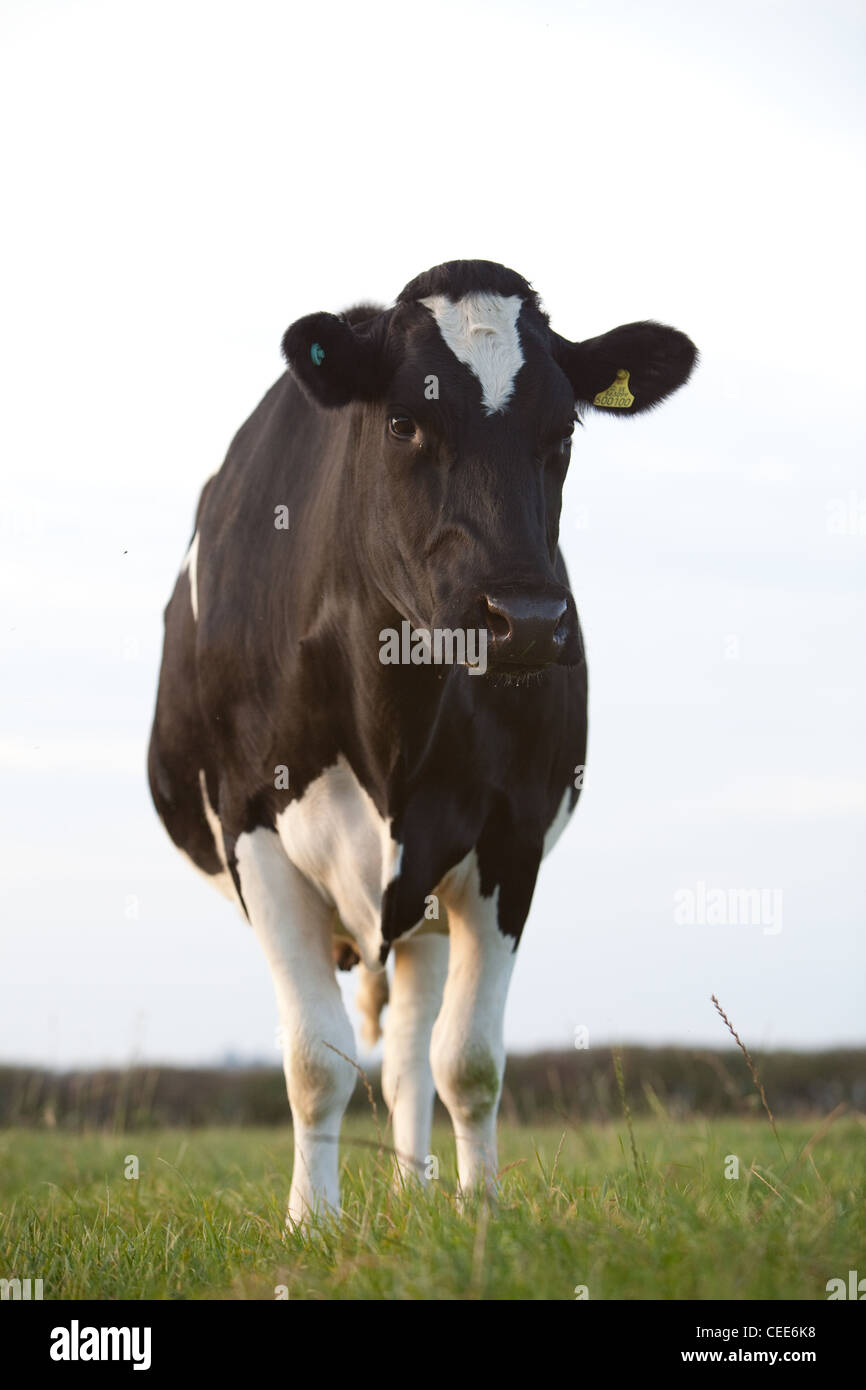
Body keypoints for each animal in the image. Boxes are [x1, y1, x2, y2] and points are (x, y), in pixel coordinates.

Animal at [148, 259, 696, 1226]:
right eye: (404, 422)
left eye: (563, 429)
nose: (528, 620)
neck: (388, 720)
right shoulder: (253, 828)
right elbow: (315, 1058)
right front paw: (312, 1222)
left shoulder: (509, 839)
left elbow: (466, 1059)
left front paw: (482, 1211)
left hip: (427, 902)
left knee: (408, 1048)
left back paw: (415, 1186)